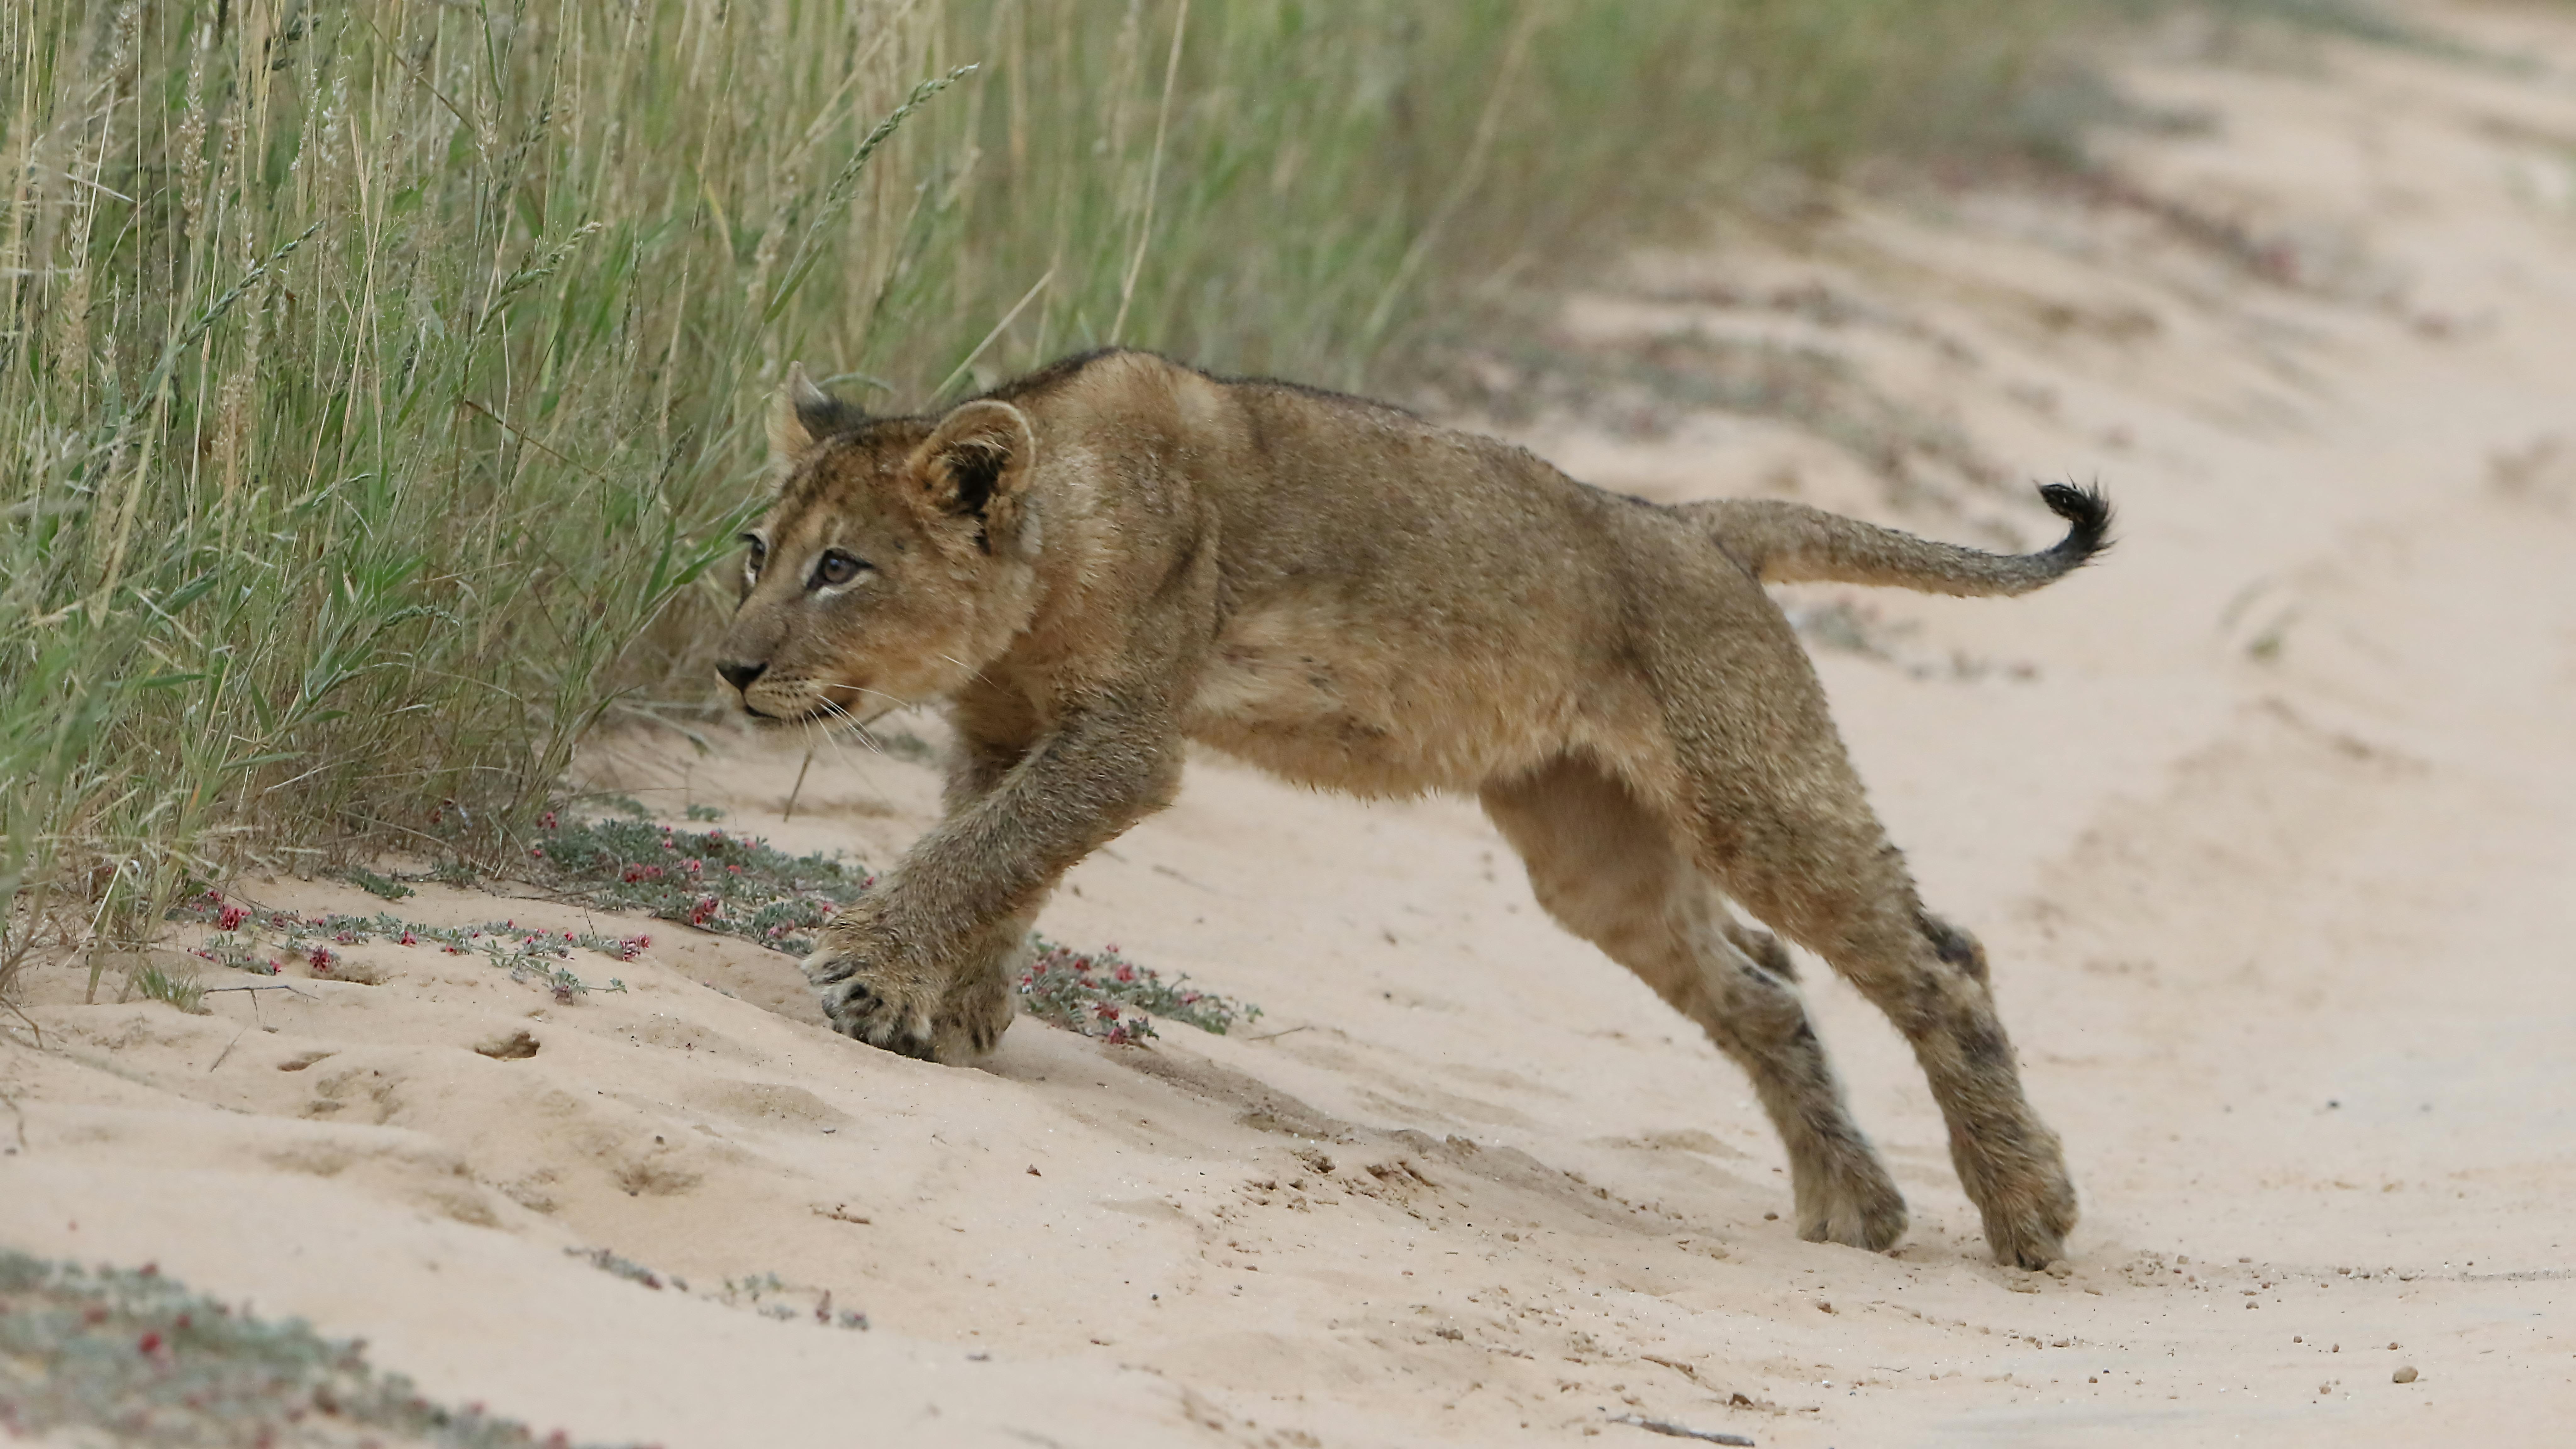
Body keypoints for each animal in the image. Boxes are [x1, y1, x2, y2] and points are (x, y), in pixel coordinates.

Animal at [716, 347, 2108, 1268]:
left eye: (841, 567)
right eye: (756, 551)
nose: (729, 666)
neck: (1053, 534)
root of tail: (1694, 523)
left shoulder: (1123, 740)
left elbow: (978, 850)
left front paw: (864, 970)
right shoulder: (1006, 729)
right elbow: (996, 856)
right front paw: (947, 1012)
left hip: (1751, 790)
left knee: (1938, 957)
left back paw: (2025, 1205)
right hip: (1591, 852)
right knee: (1763, 985)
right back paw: (1853, 1204)